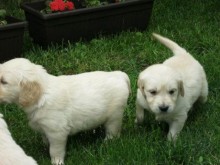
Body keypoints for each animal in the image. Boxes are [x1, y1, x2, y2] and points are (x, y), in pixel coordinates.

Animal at [0, 58, 131, 165]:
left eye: (4, 81)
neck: (42, 95)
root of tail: (119, 75)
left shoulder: (57, 132)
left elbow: (55, 150)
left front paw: (56, 161)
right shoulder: (44, 127)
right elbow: (45, 139)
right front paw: (44, 147)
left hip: (114, 116)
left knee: (113, 131)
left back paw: (107, 142)